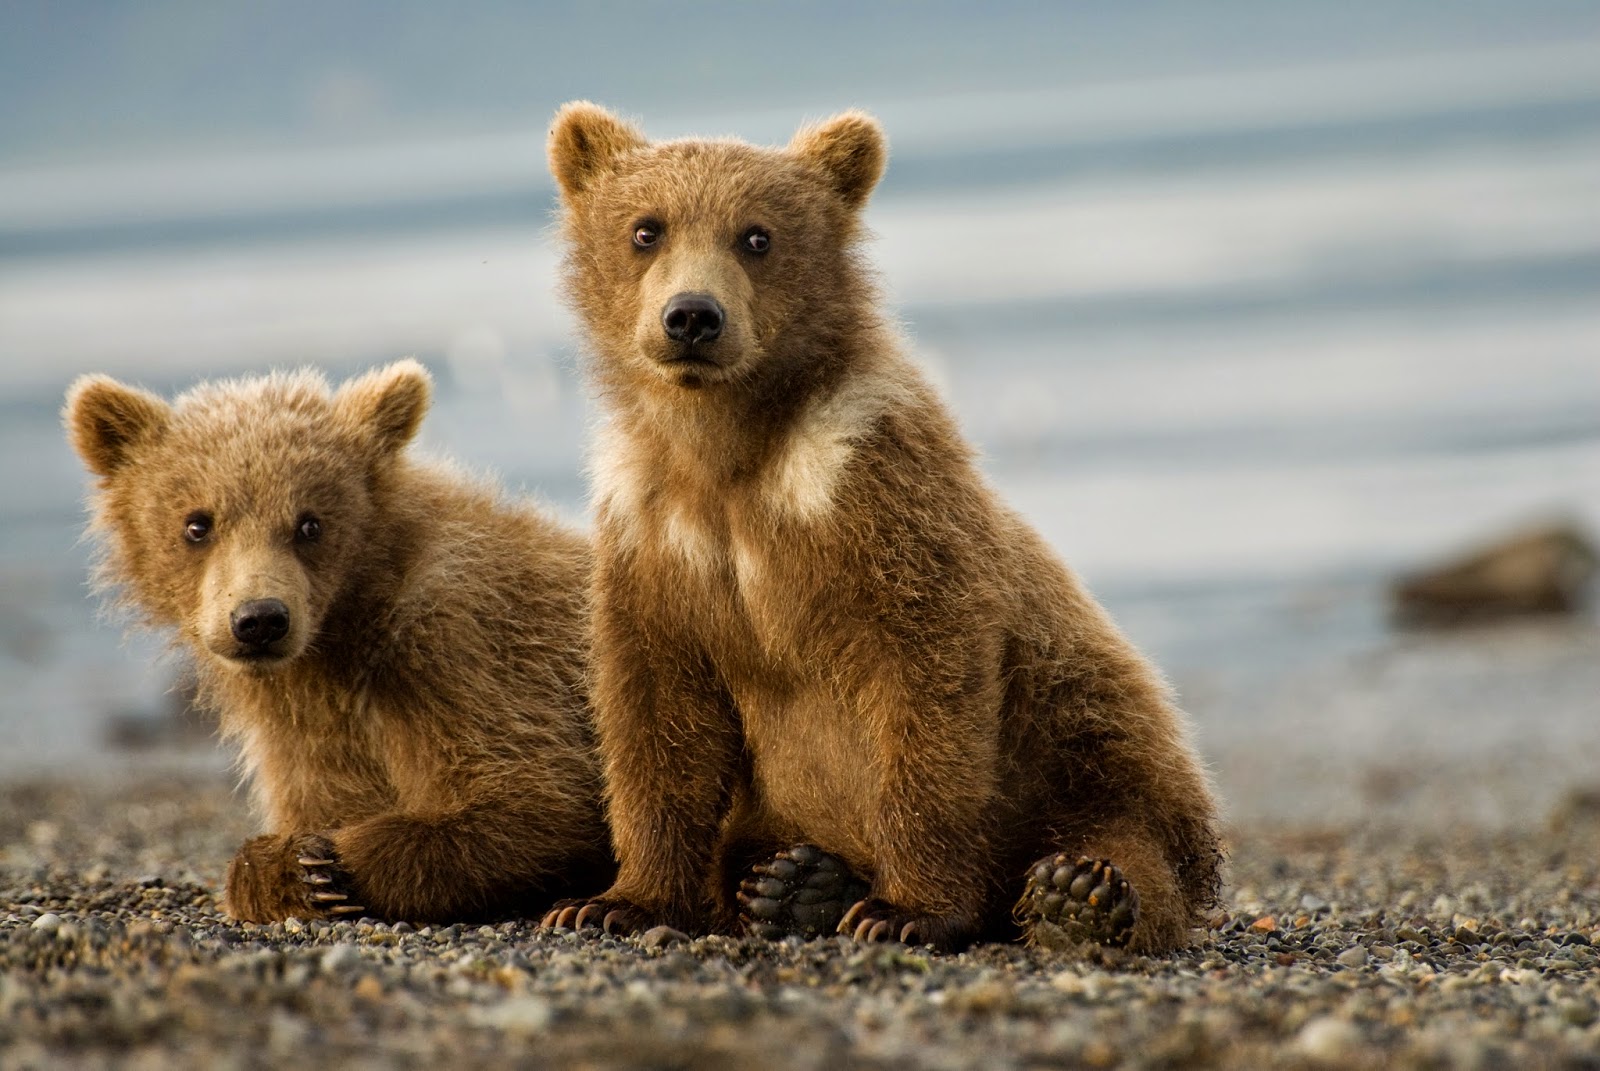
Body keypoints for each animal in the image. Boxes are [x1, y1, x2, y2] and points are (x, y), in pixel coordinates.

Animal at [64, 360, 612, 923]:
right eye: (197, 524)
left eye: (310, 523)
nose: (260, 619)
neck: (346, 631)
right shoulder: (307, 722)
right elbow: (319, 799)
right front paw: (285, 867)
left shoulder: (464, 649)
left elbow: (532, 800)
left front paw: (328, 865)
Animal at [538, 102, 1226, 955]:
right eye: (646, 228)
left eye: (757, 235)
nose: (692, 315)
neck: (731, 454)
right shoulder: (655, 534)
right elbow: (658, 712)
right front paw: (612, 900)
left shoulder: (874, 497)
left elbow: (926, 679)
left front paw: (907, 908)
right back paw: (793, 884)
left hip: (1092, 736)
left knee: (1132, 826)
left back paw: (1078, 894)